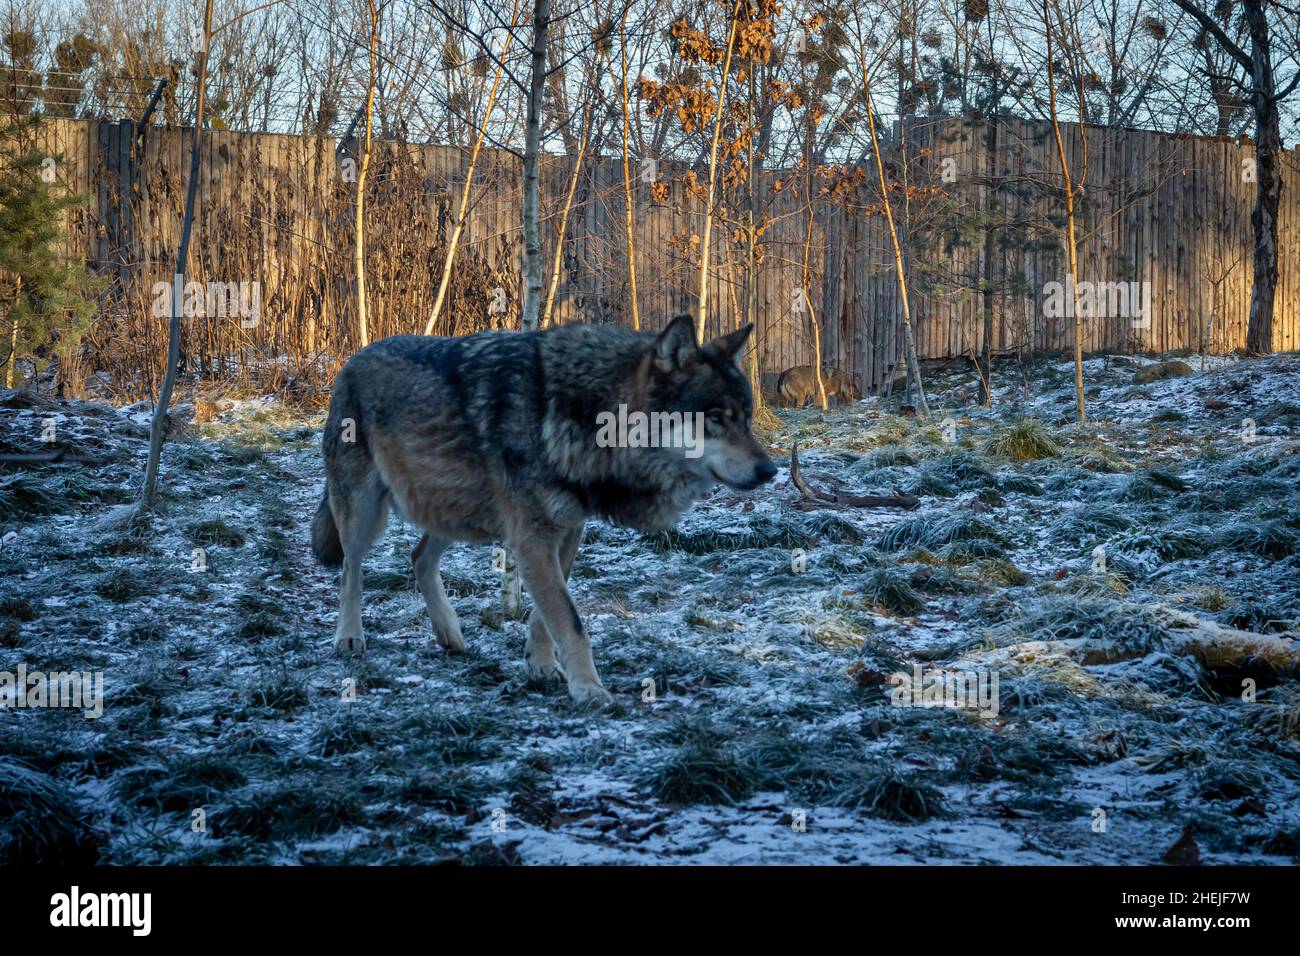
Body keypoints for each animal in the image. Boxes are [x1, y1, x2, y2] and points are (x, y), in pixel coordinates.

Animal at [311, 314, 777, 705]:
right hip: (365, 511)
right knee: (351, 570)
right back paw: (349, 638)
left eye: (746, 417)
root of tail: (354, 359)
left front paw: (541, 666)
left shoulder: (565, 533)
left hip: (455, 512)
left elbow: (544, 615)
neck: (588, 414)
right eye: (714, 417)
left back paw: (449, 632)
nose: (770, 470)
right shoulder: (533, 537)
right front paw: (589, 690)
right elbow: (570, 621)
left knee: (419, 557)